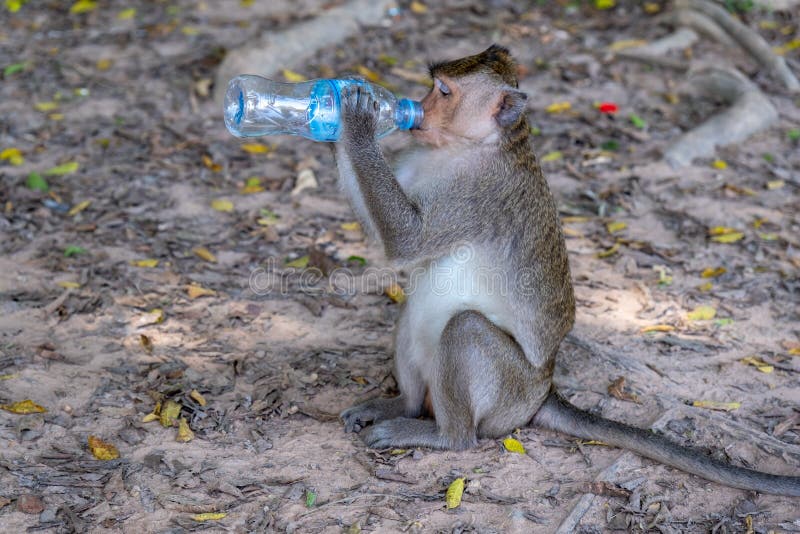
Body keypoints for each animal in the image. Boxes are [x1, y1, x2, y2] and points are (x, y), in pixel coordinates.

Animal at [332, 45, 800, 497]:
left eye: (444, 92)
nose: (420, 108)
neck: (473, 145)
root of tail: (544, 389)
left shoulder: (477, 191)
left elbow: (406, 242)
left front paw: (354, 118)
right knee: (413, 311)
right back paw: (403, 406)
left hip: (510, 394)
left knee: (465, 330)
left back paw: (445, 435)